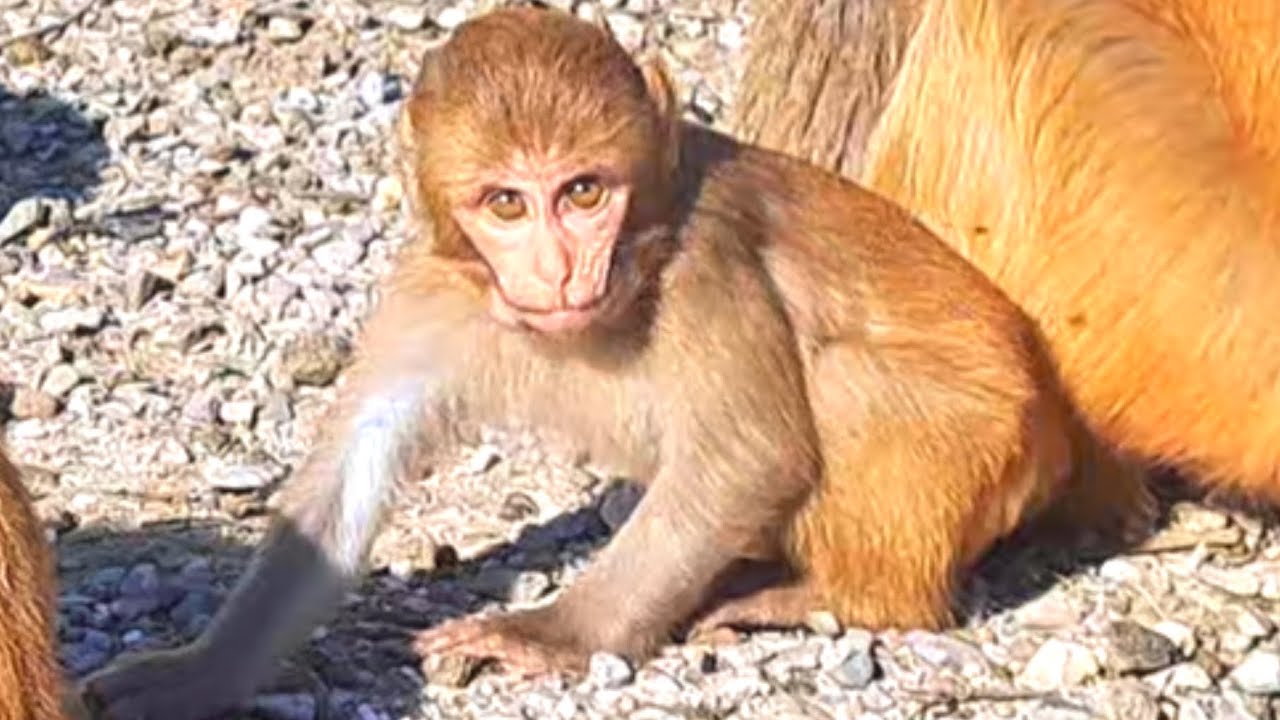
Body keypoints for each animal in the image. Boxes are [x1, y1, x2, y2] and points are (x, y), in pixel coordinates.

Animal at [78, 7, 1150, 718]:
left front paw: (551, 634)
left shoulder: (710, 268)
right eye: (507, 203)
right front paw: (196, 673)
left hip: (990, 445)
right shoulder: (432, 291)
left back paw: (848, 598)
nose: (559, 267)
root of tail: (1064, 436)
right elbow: (353, 469)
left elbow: (749, 456)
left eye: (584, 191)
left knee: (848, 389)